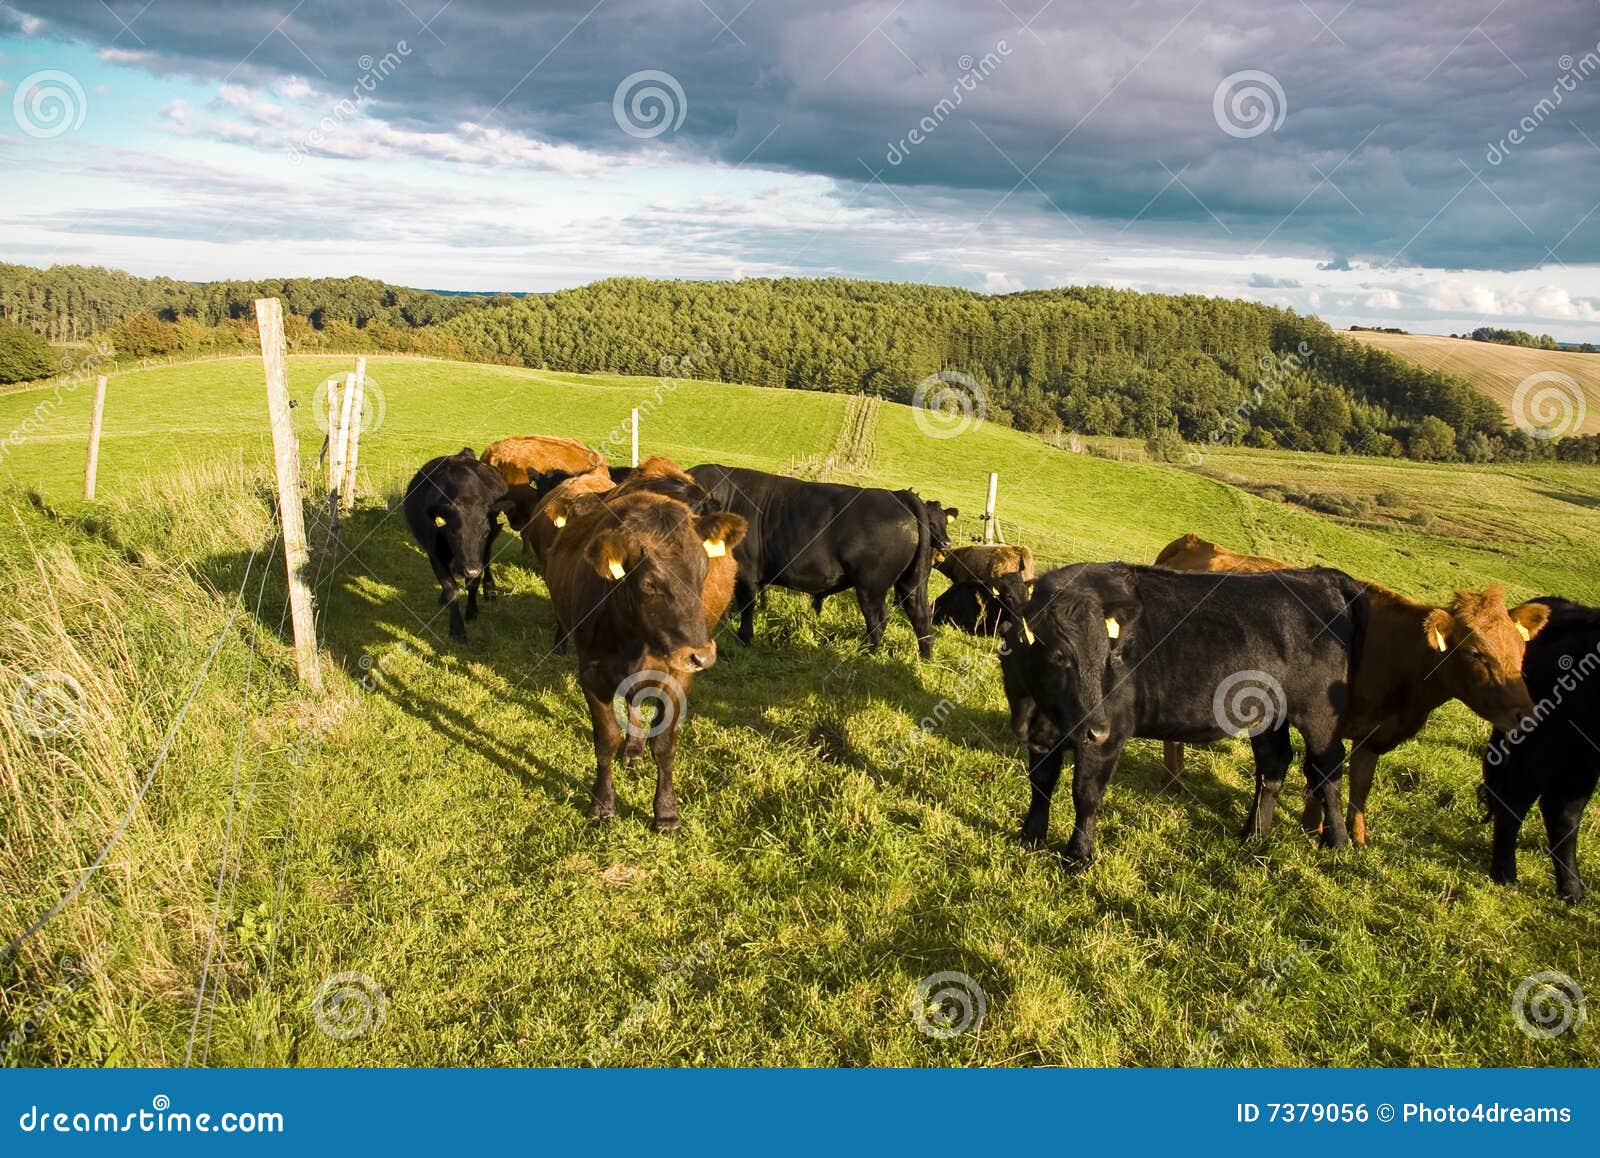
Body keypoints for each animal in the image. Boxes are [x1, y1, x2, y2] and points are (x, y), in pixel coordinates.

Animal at [403, 448, 519, 642]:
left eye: (484, 533)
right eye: (452, 533)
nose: (471, 570)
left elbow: (473, 584)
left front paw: (471, 611)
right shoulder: (434, 552)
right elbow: (452, 590)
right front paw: (457, 628)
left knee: (487, 561)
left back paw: (489, 589)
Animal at [543, 484, 747, 832]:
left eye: (704, 572)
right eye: (650, 583)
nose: (701, 655)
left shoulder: (678, 677)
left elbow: (664, 746)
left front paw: (666, 813)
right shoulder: (592, 674)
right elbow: (605, 740)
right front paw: (602, 804)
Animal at [688, 464, 947, 659]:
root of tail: (898, 495)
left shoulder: (746, 572)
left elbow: (745, 606)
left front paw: (742, 638)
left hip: (871, 586)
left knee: (878, 619)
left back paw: (865, 654)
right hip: (911, 581)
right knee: (921, 615)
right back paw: (925, 659)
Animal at [997, 562, 1369, 861]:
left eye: (1107, 657)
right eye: (1058, 657)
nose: (1096, 729)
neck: (1036, 710)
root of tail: (1318, 575)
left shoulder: (1109, 738)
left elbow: (1085, 795)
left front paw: (1078, 856)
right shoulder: (1041, 737)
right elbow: (1041, 784)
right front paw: (1030, 837)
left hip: (1319, 715)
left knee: (1327, 767)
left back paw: (1337, 842)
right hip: (1268, 716)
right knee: (1274, 764)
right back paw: (1253, 835)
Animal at [1154, 533, 1550, 843]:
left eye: (1521, 648)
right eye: (1475, 652)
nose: (1526, 714)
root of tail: (1190, 542)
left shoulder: (1372, 734)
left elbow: (1361, 782)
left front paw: (1356, 835)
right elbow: (1319, 772)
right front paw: (1314, 827)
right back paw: (1174, 782)